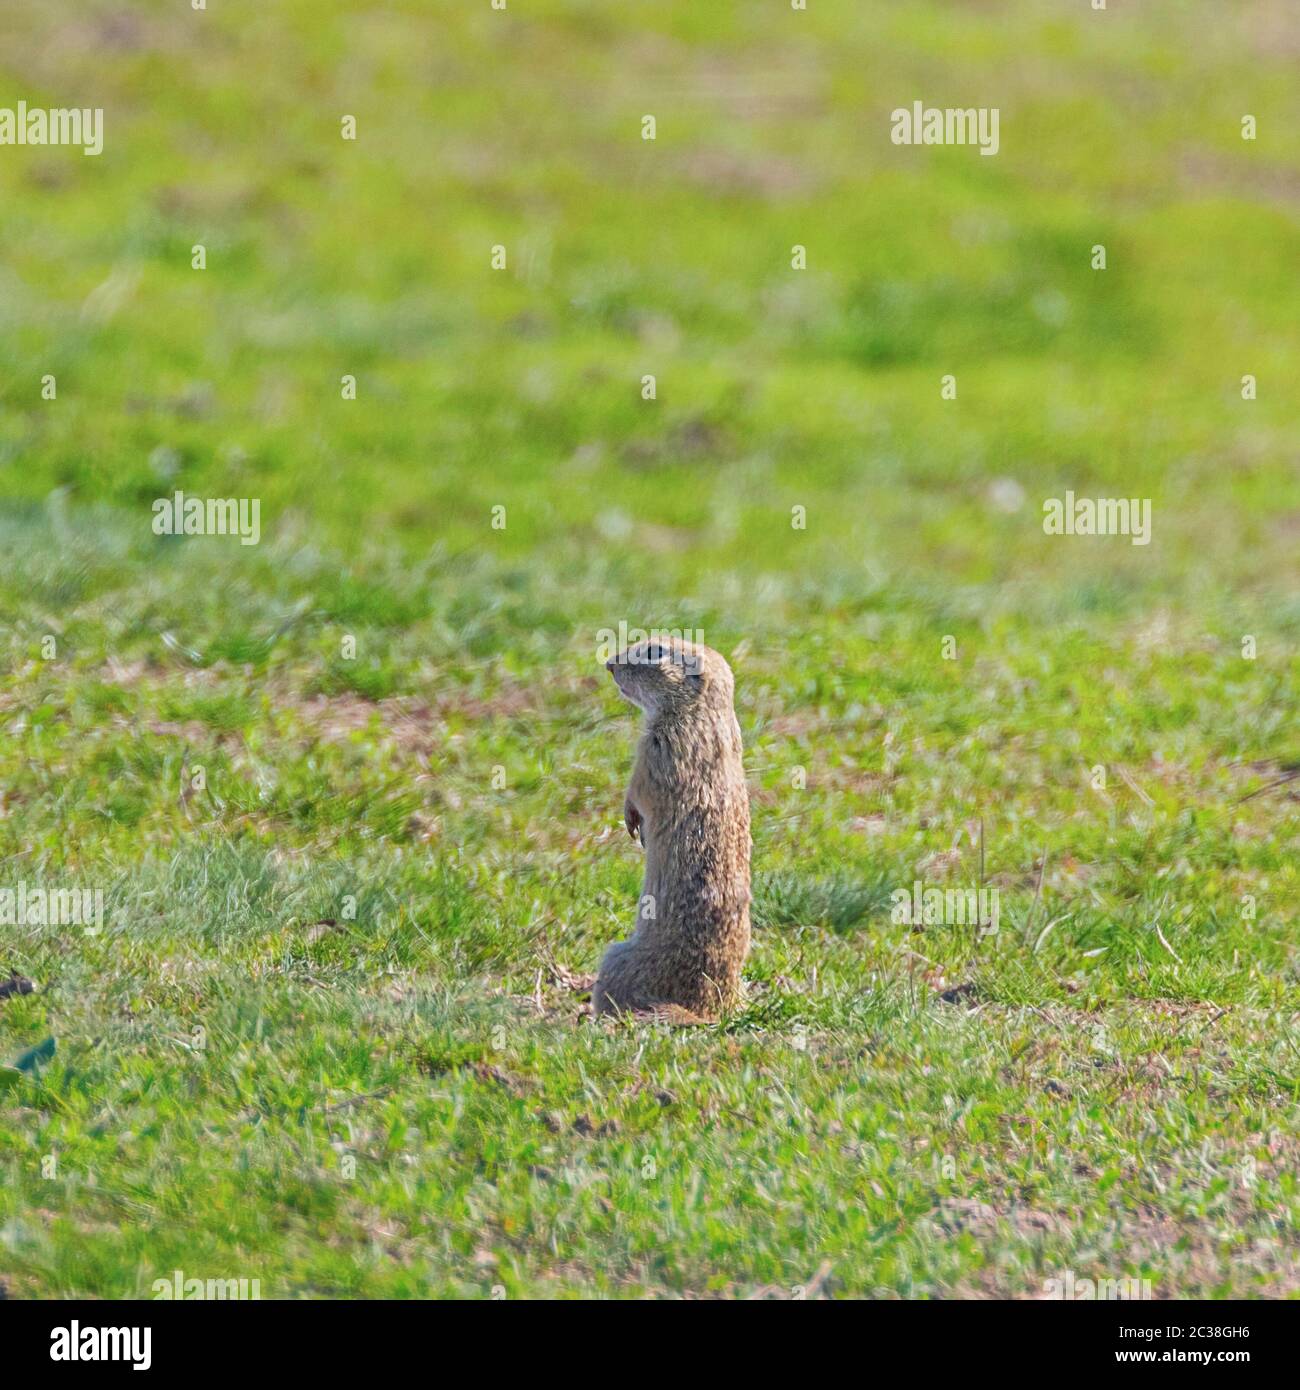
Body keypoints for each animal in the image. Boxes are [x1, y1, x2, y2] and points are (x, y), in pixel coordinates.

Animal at [593, 636, 751, 1023]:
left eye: (655, 652)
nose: (609, 664)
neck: (701, 710)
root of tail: (707, 1010)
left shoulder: (657, 749)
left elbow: (639, 789)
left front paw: (632, 821)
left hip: (614, 960)